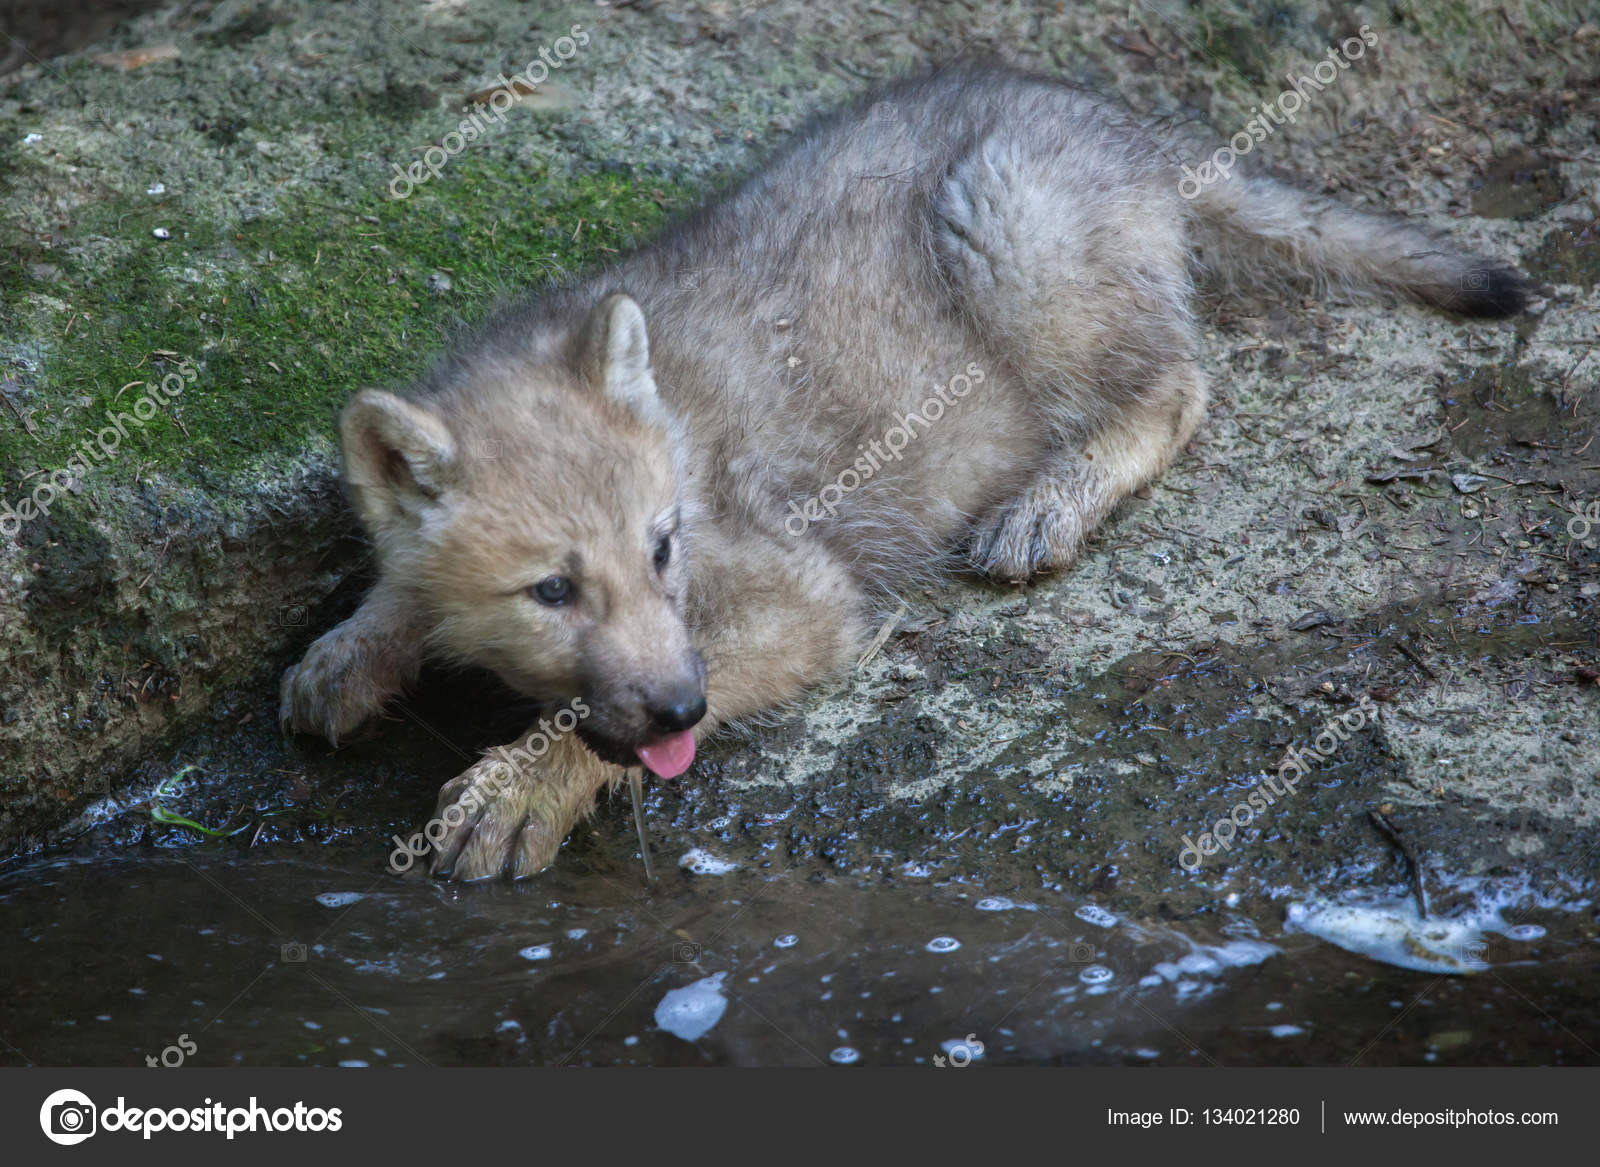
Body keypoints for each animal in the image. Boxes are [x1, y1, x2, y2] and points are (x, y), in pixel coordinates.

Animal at [280, 63, 1527, 880]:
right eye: (550, 590)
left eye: (664, 547)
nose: (681, 704)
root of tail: (1120, 123)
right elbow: (401, 586)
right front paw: (348, 651)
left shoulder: (806, 600)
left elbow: (589, 728)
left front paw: (516, 788)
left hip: (1013, 236)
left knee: (1175, 386)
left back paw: (1046, 507)